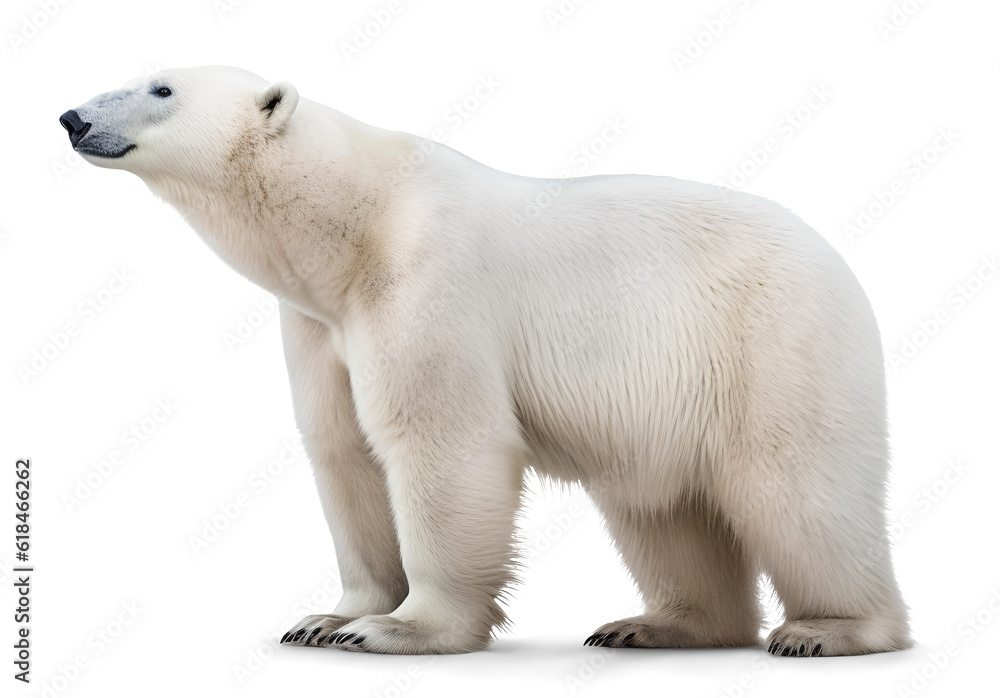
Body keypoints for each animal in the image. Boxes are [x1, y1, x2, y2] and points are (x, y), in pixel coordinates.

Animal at [60, 66, 911, 656]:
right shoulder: (318, 324)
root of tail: (841, 264)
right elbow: (342, 453)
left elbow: (443, 444)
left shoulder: (427, 284)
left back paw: (829, 629)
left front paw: (397, 630)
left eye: (162, 87)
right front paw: (330, 616)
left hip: (771, 342)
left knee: (797, 489)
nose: (72, 116)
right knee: (663, 511)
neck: (352, 222)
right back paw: (655, 625)